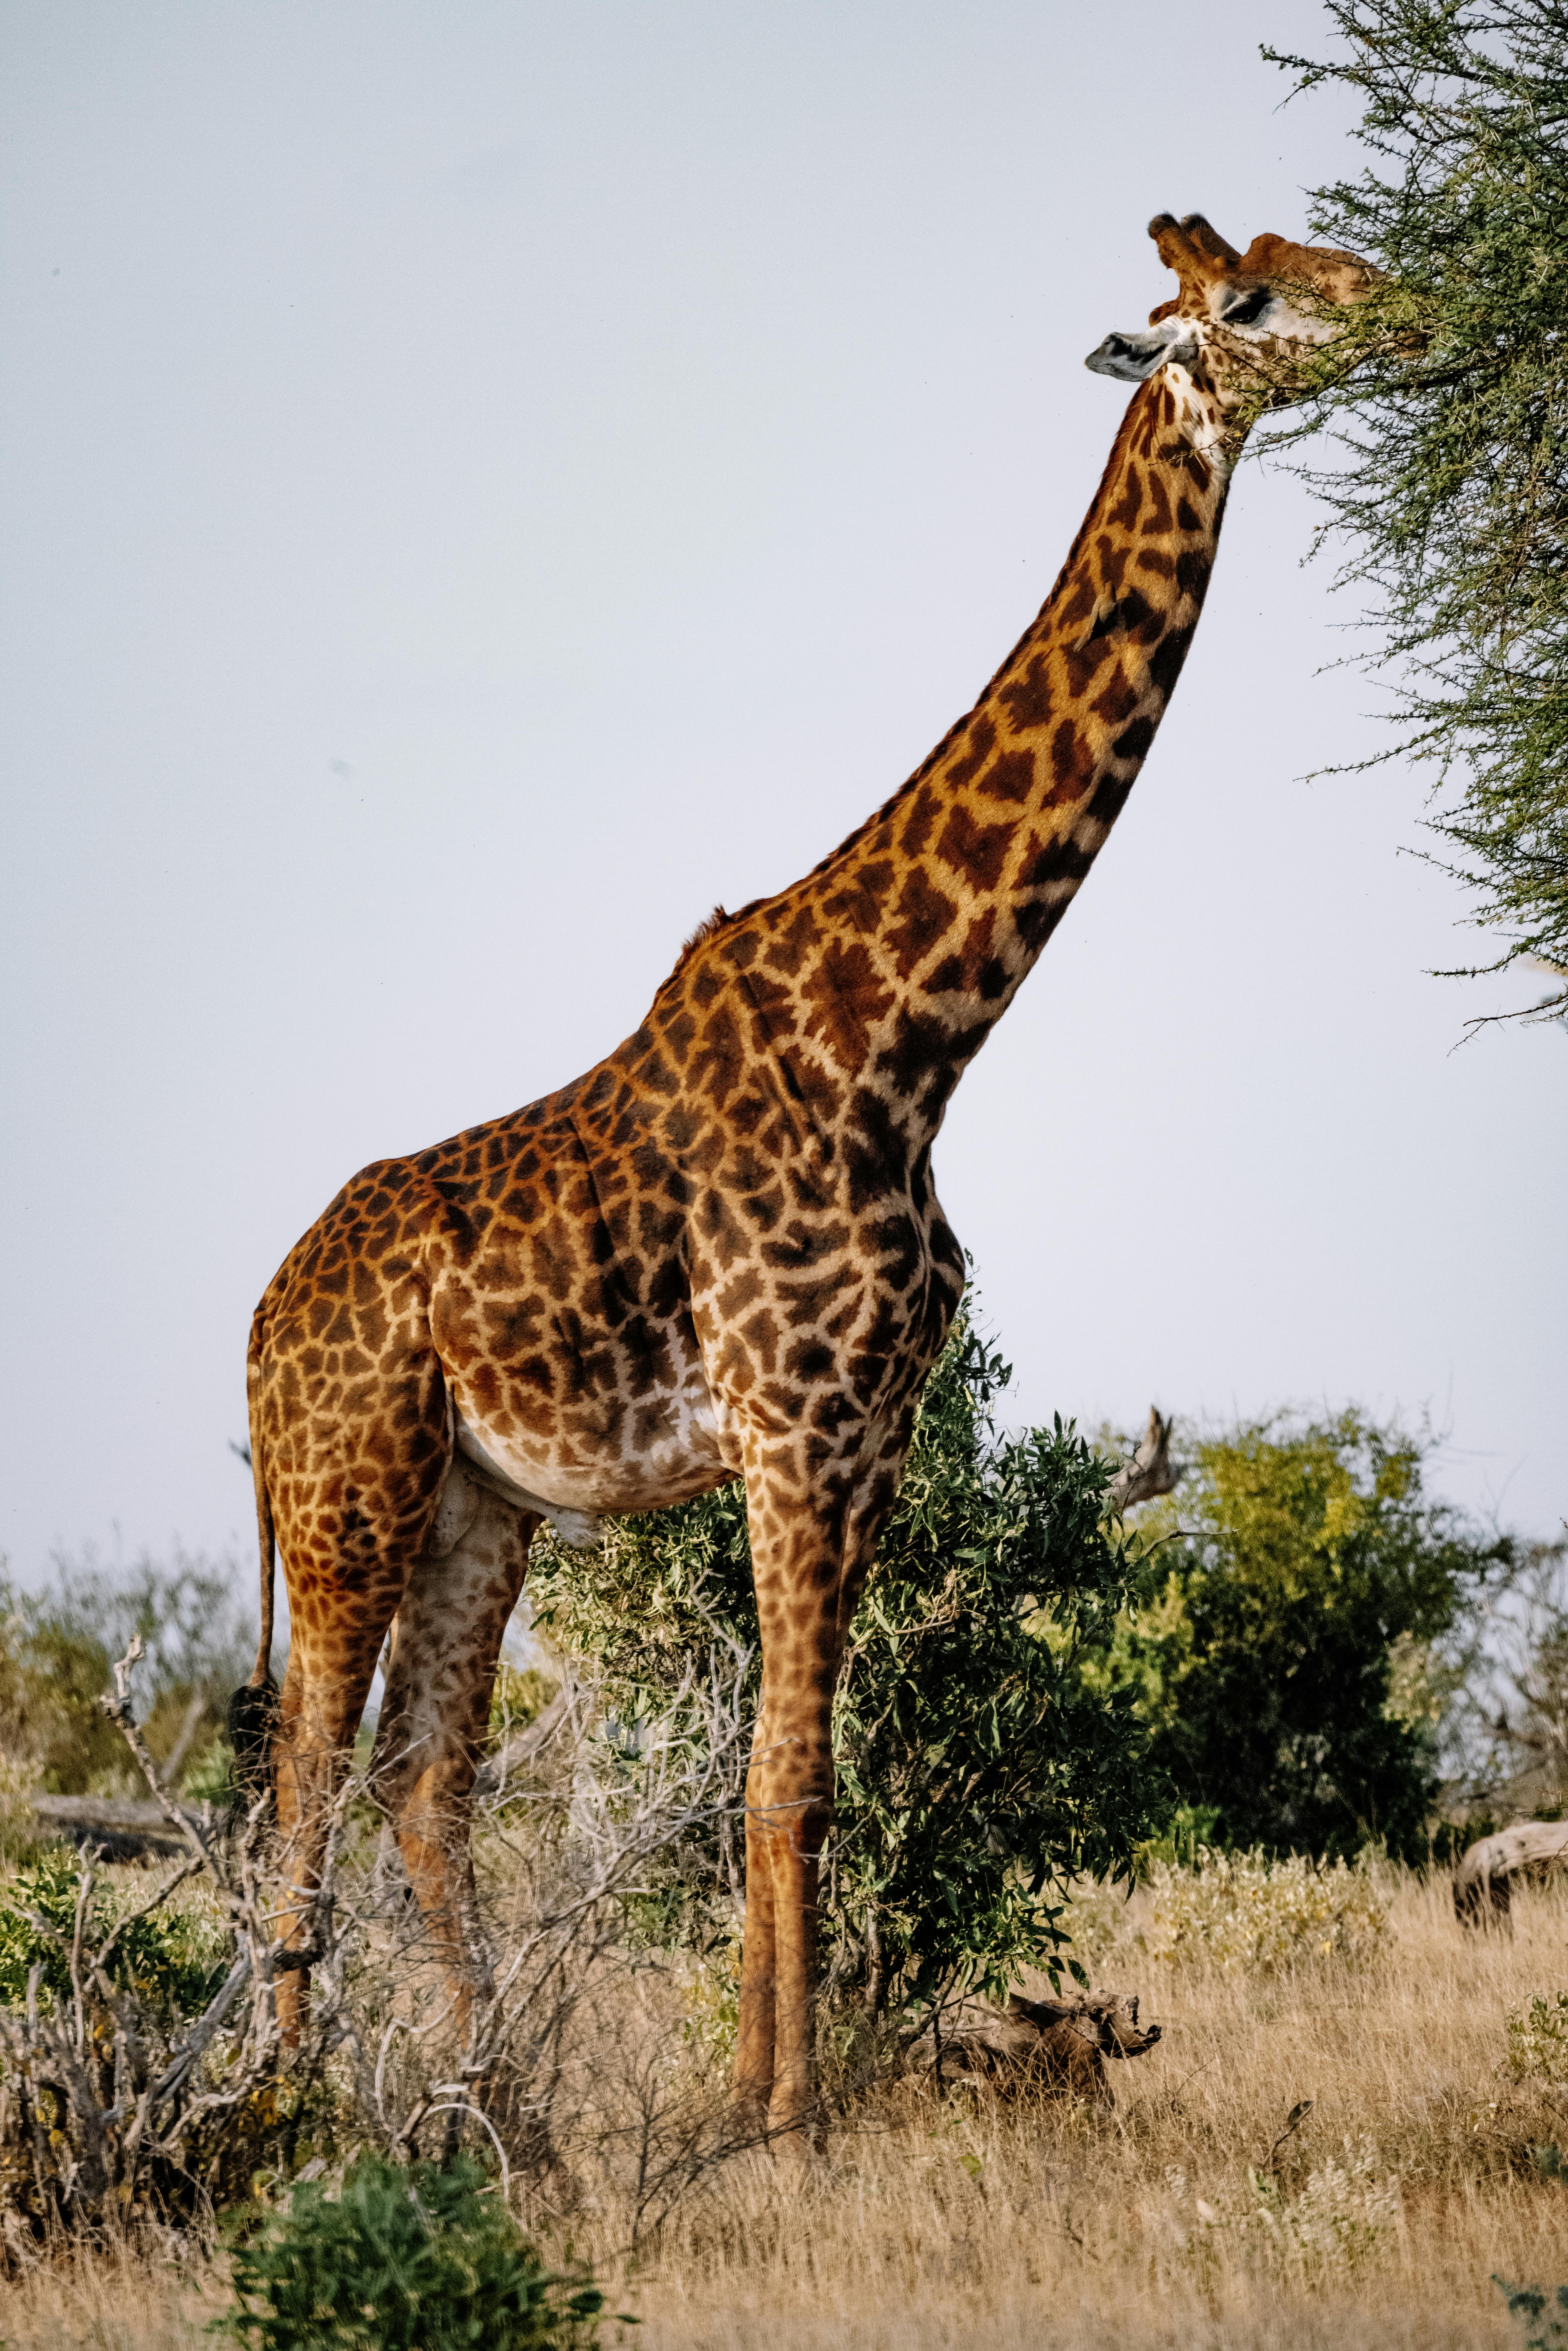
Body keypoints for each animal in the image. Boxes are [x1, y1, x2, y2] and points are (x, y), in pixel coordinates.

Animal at [239, 212, 1375, 2139]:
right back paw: (280, 2107)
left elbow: (811, 1771)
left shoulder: (871, 1429)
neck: (912, 1039)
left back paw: (502, 2110)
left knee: (419, 1774)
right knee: (305, 1770)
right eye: (1250, 301)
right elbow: (773, 1778)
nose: (1410, 313)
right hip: (346, 1490)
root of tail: (246, 1332)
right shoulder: (789, 1419)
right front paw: (776, 2115)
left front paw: (774, 2090)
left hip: (480, 1503)